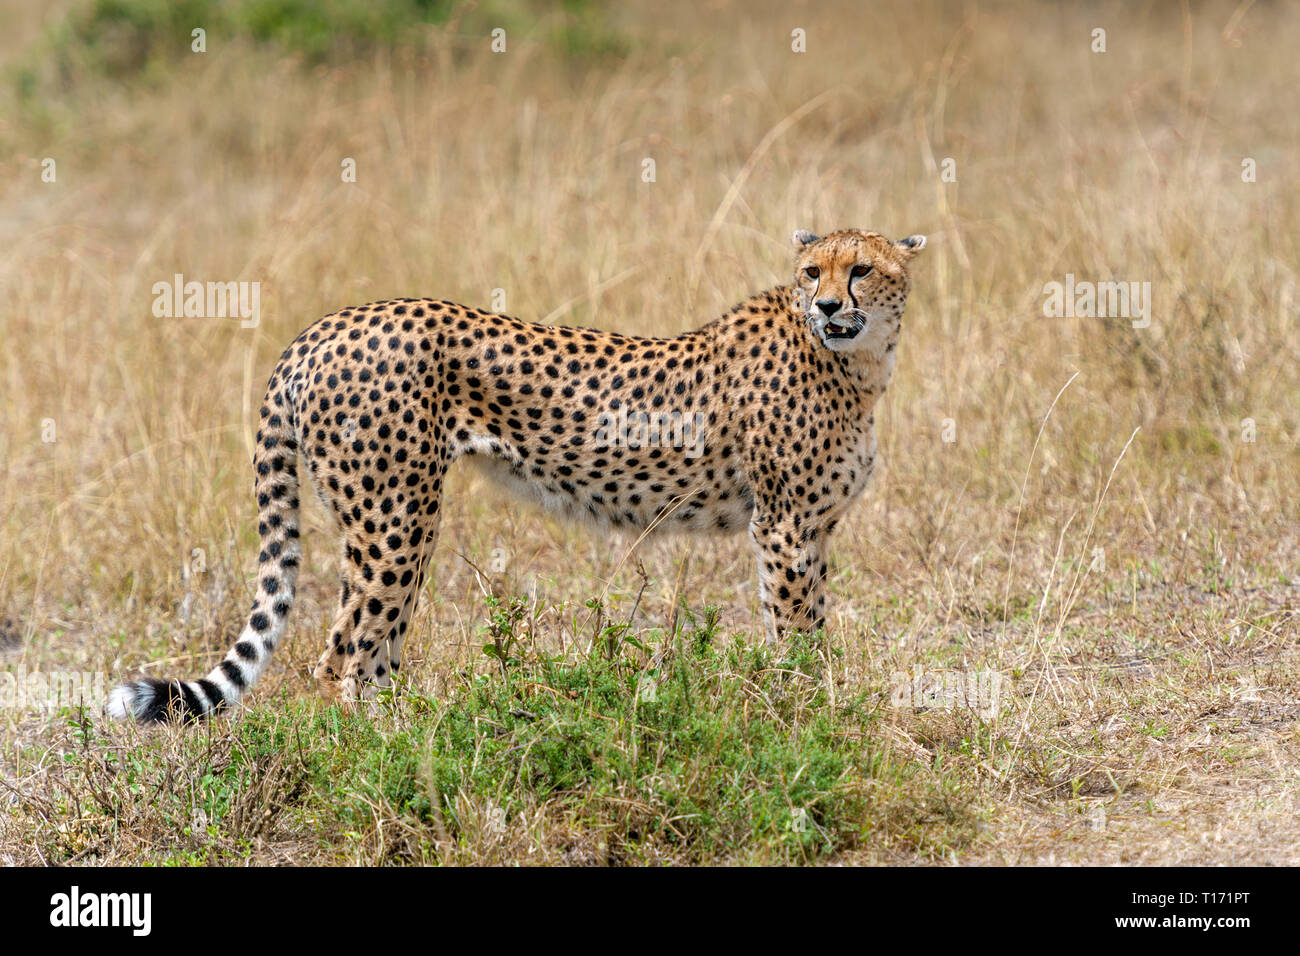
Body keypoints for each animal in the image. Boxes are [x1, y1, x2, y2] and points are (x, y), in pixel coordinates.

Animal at [107, 227, 927, 722]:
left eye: (862, 270)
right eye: (812, 272)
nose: (828, 304)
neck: (857, 362)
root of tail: (326, 325)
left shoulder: (804, 531)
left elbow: (803, 624)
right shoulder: (786, 528)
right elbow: (797, 635)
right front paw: (806, 721)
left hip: (387, 525)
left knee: (374, 649)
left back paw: (406, 741)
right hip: (396, 519)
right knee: (342, 653)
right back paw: (369, 763)